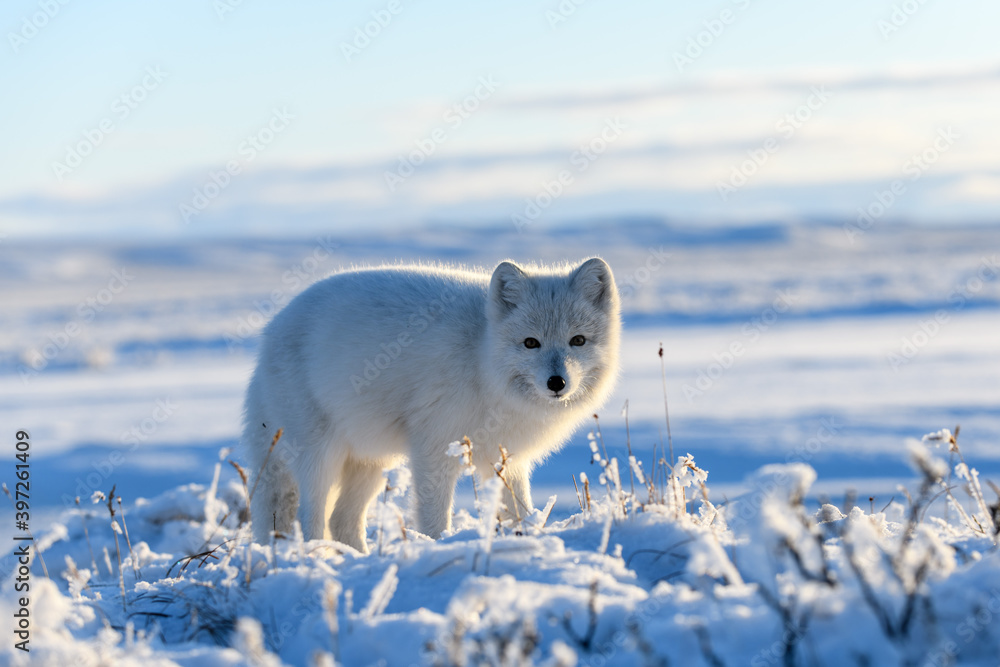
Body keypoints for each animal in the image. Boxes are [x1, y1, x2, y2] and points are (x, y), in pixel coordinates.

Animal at [242, 258, 621, 552]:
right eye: (531, 343)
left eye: (578, 341)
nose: (557, 383)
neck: (481, 360)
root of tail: (270, 333)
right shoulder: (434, 449)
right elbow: (434, 517)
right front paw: (438, 547)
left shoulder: (506, 460)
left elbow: (521, 512)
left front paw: (528, 538)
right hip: (320, 456)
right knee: (310, 520)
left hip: (370, 462)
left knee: (341, 521)